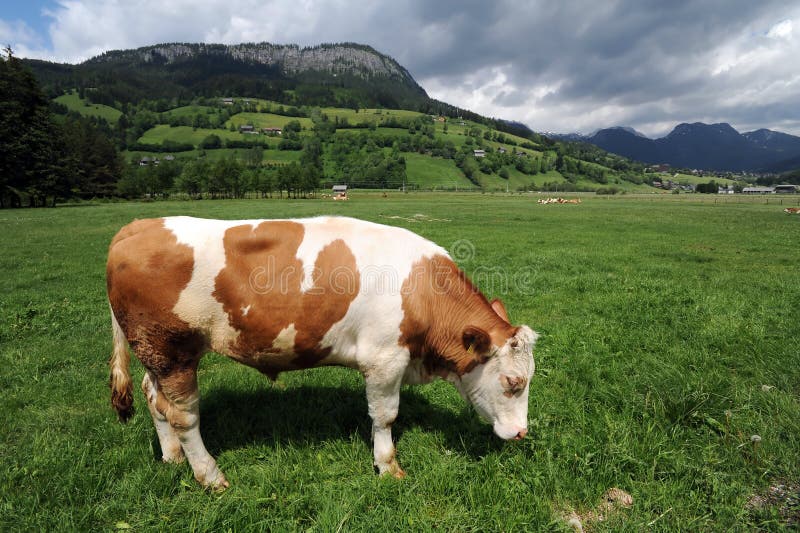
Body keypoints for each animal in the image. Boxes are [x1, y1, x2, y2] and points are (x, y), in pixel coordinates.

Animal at [107, 216, 538, 489]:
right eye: (513, 382)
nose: (521, 433)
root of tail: (137, 226)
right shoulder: (384, 359)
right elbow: (385, 416)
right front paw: (388, 466)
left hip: (156, 353)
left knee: (155, 400)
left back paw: (172, 456)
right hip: (173, 351)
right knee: (183, 417)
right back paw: (210, 476)